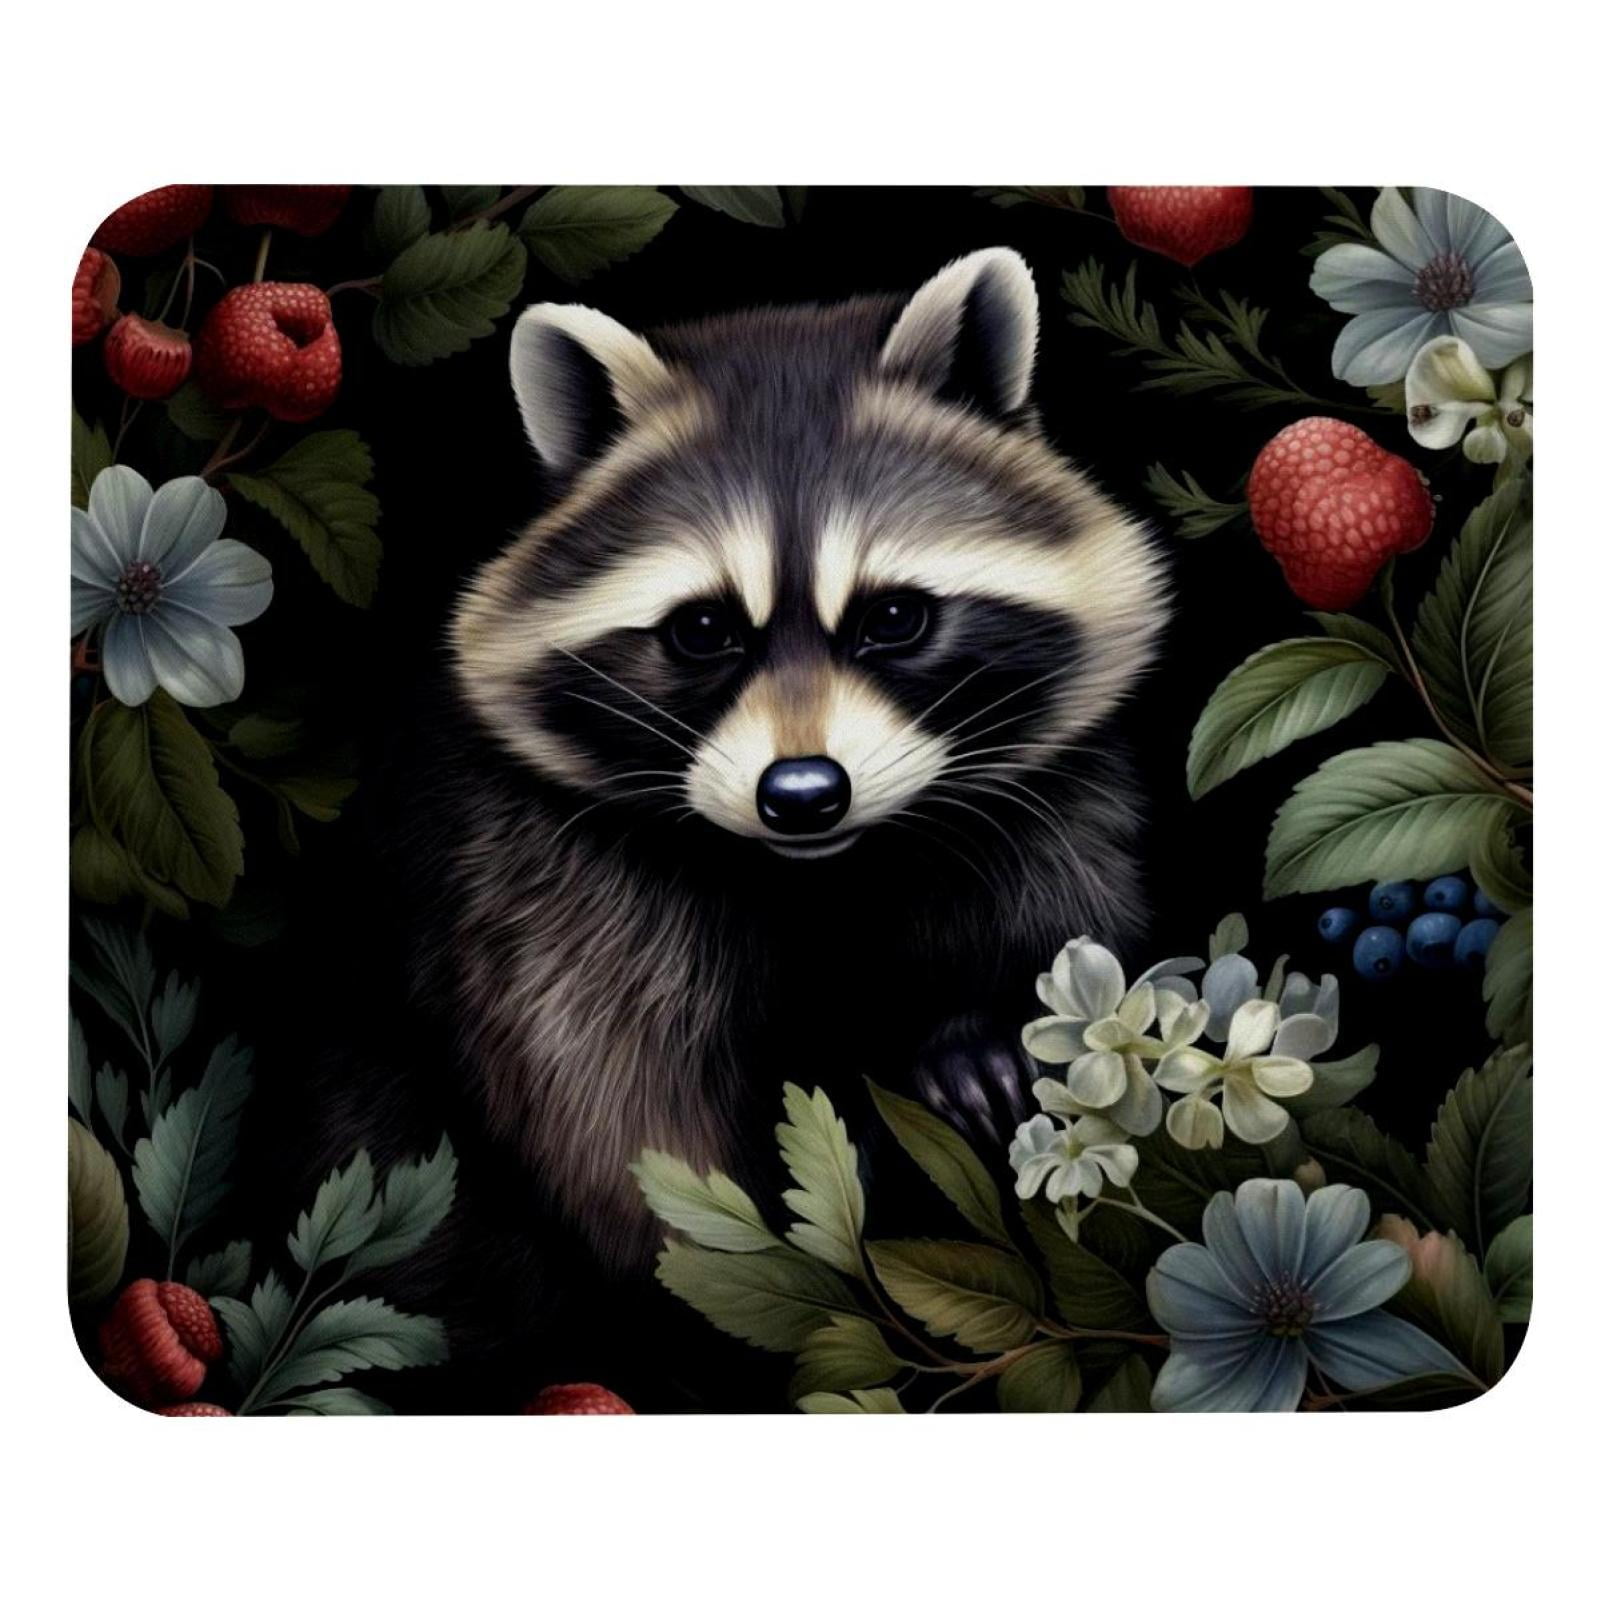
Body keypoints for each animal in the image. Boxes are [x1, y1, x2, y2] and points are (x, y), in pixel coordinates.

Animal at [308, 248, 1167, 1377]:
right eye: (704, 628)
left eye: (894, 616)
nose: (801, 794)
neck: (821, 874)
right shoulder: (541, 889)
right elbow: (624, 1130)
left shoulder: (1049, 797)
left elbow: (1070, 930)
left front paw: (979, 1033)